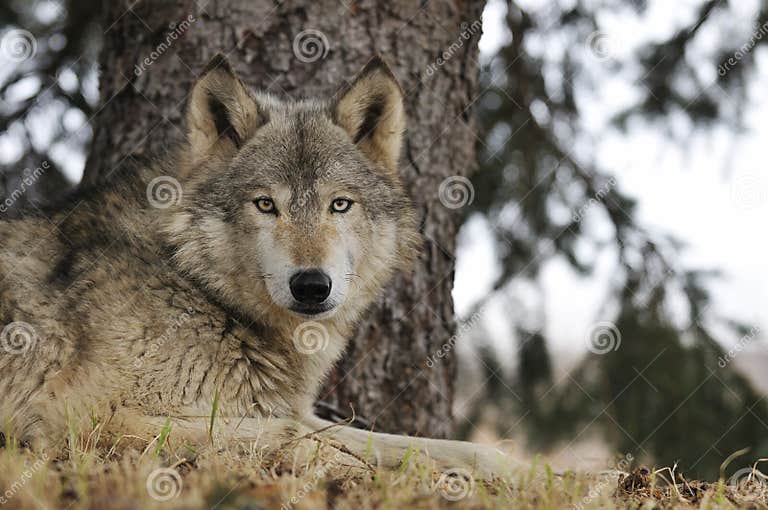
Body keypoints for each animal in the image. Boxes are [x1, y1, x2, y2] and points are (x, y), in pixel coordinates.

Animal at [0, 55, 508, 477]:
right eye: (266, 204)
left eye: (339, 204)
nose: (311, 285)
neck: (194, 284)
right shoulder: (81, 414)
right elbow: (296, 437)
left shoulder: (286, 408)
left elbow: (413, 442)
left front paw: (513, 470)